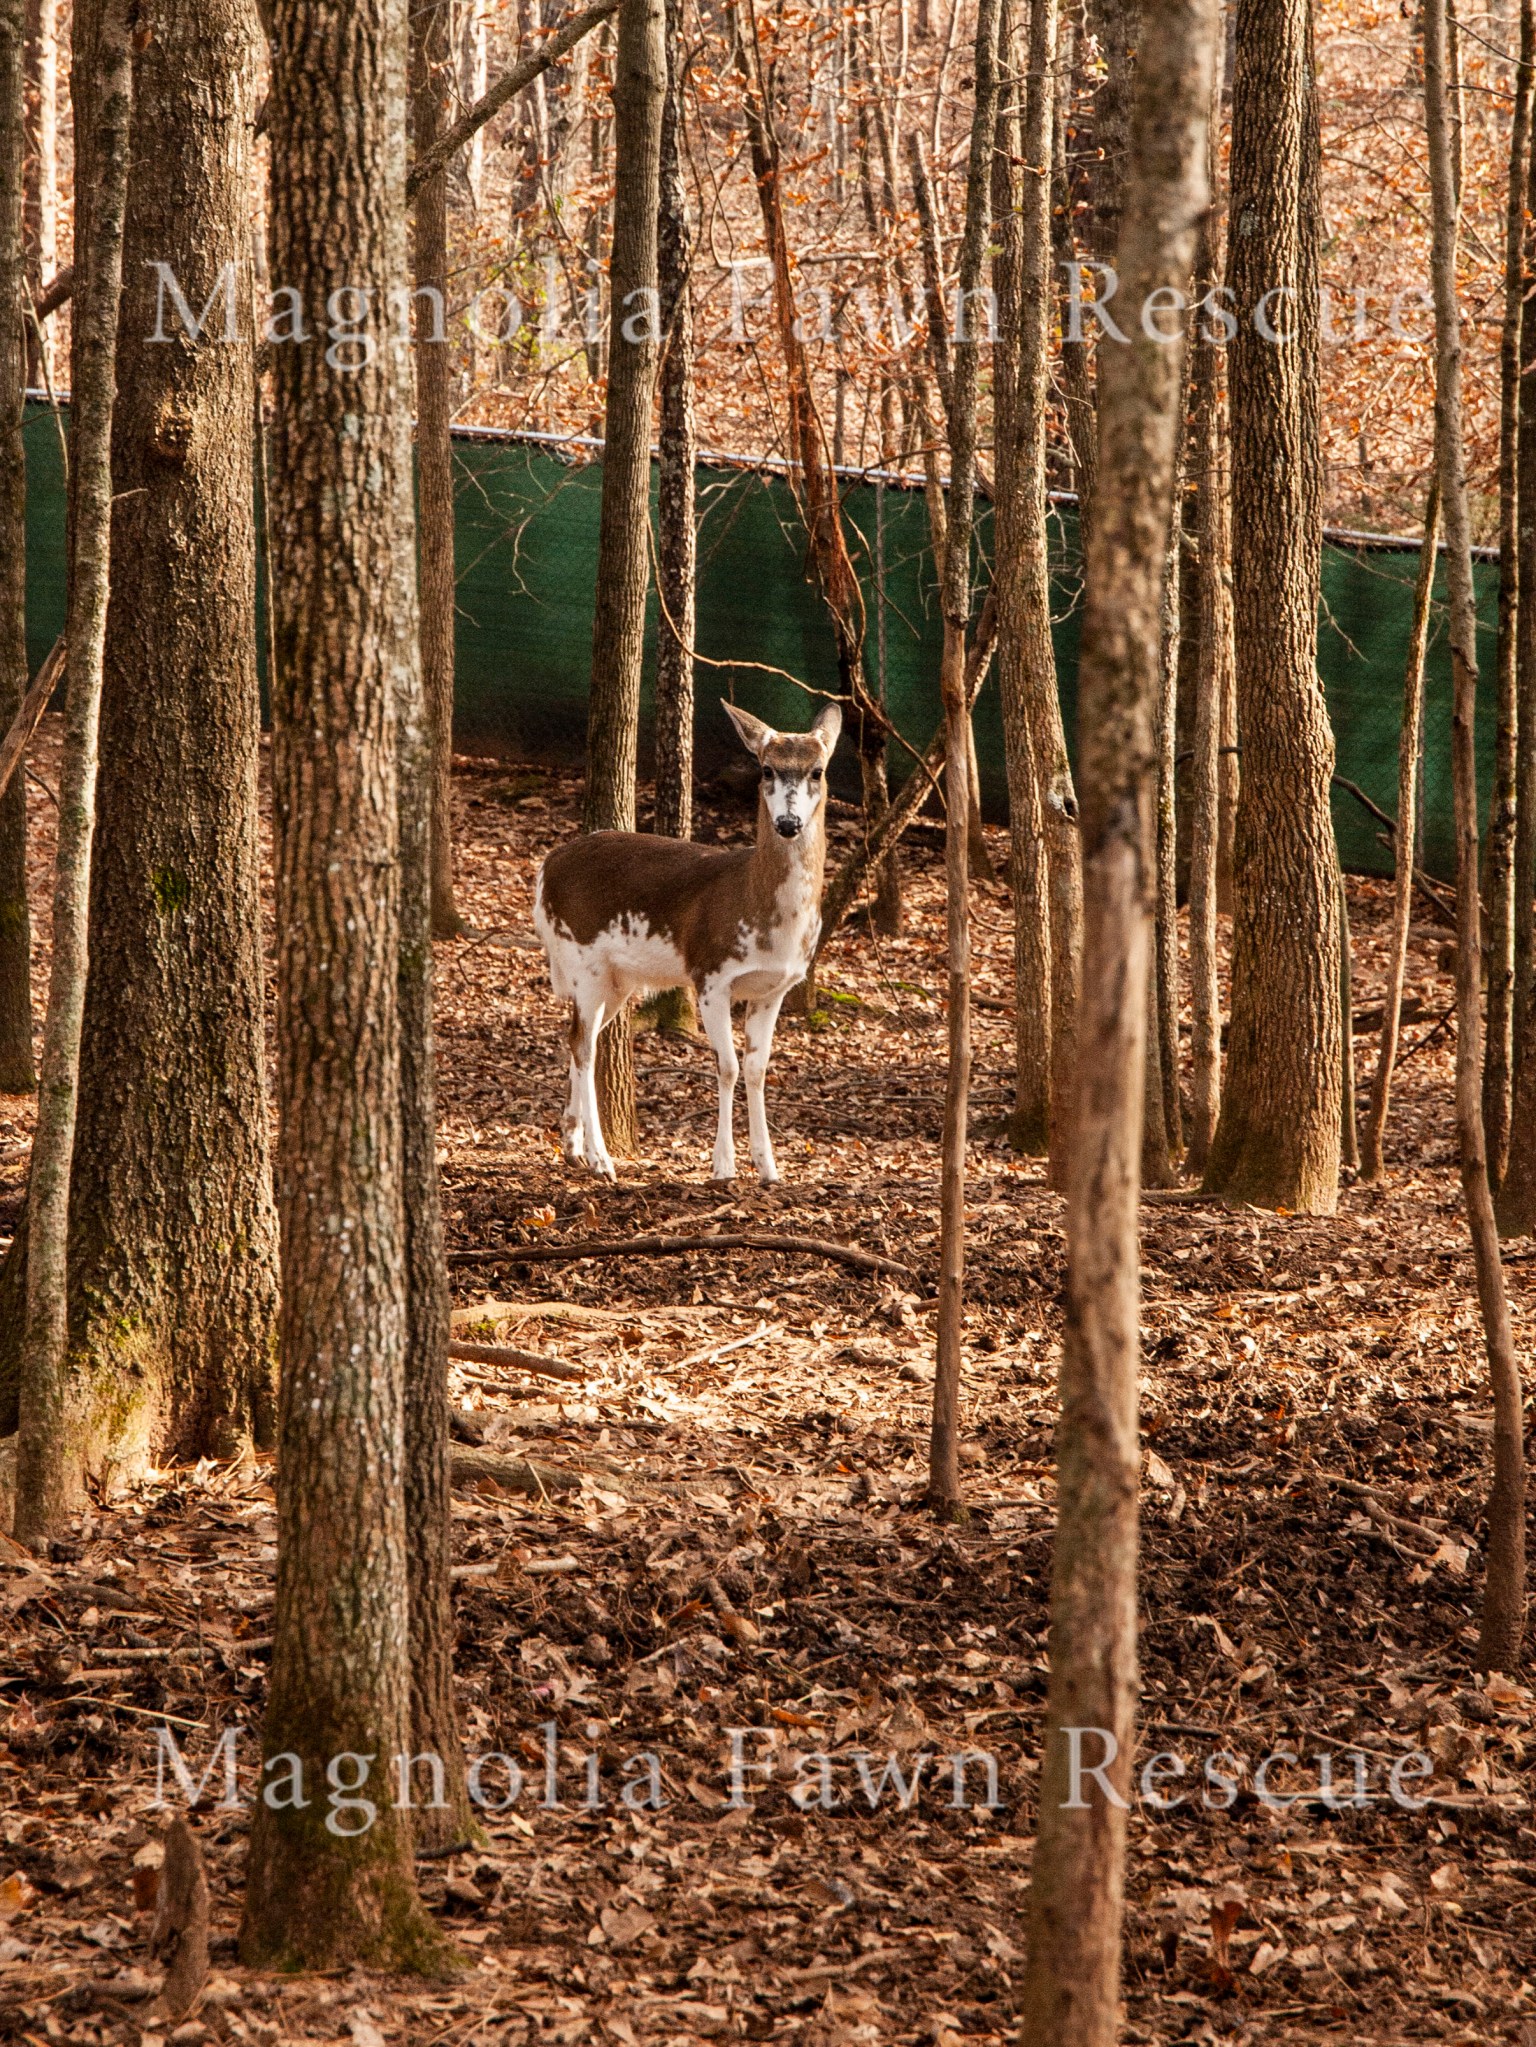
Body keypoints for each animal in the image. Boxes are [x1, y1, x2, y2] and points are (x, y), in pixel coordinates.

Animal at [534, 701, 843, 1184]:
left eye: (818, 770)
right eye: (766, 768)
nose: (788, 823)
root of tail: (546, 868)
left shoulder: (774, 987)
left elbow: (757, 1068)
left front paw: (769, 1167)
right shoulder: (710, 973)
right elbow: (728, 1066)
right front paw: (723, 1166)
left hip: (617, 980)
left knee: (578, 1037)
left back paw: (572, 1146)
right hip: (581, 958)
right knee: (583, 1046)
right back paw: (602, 1160)